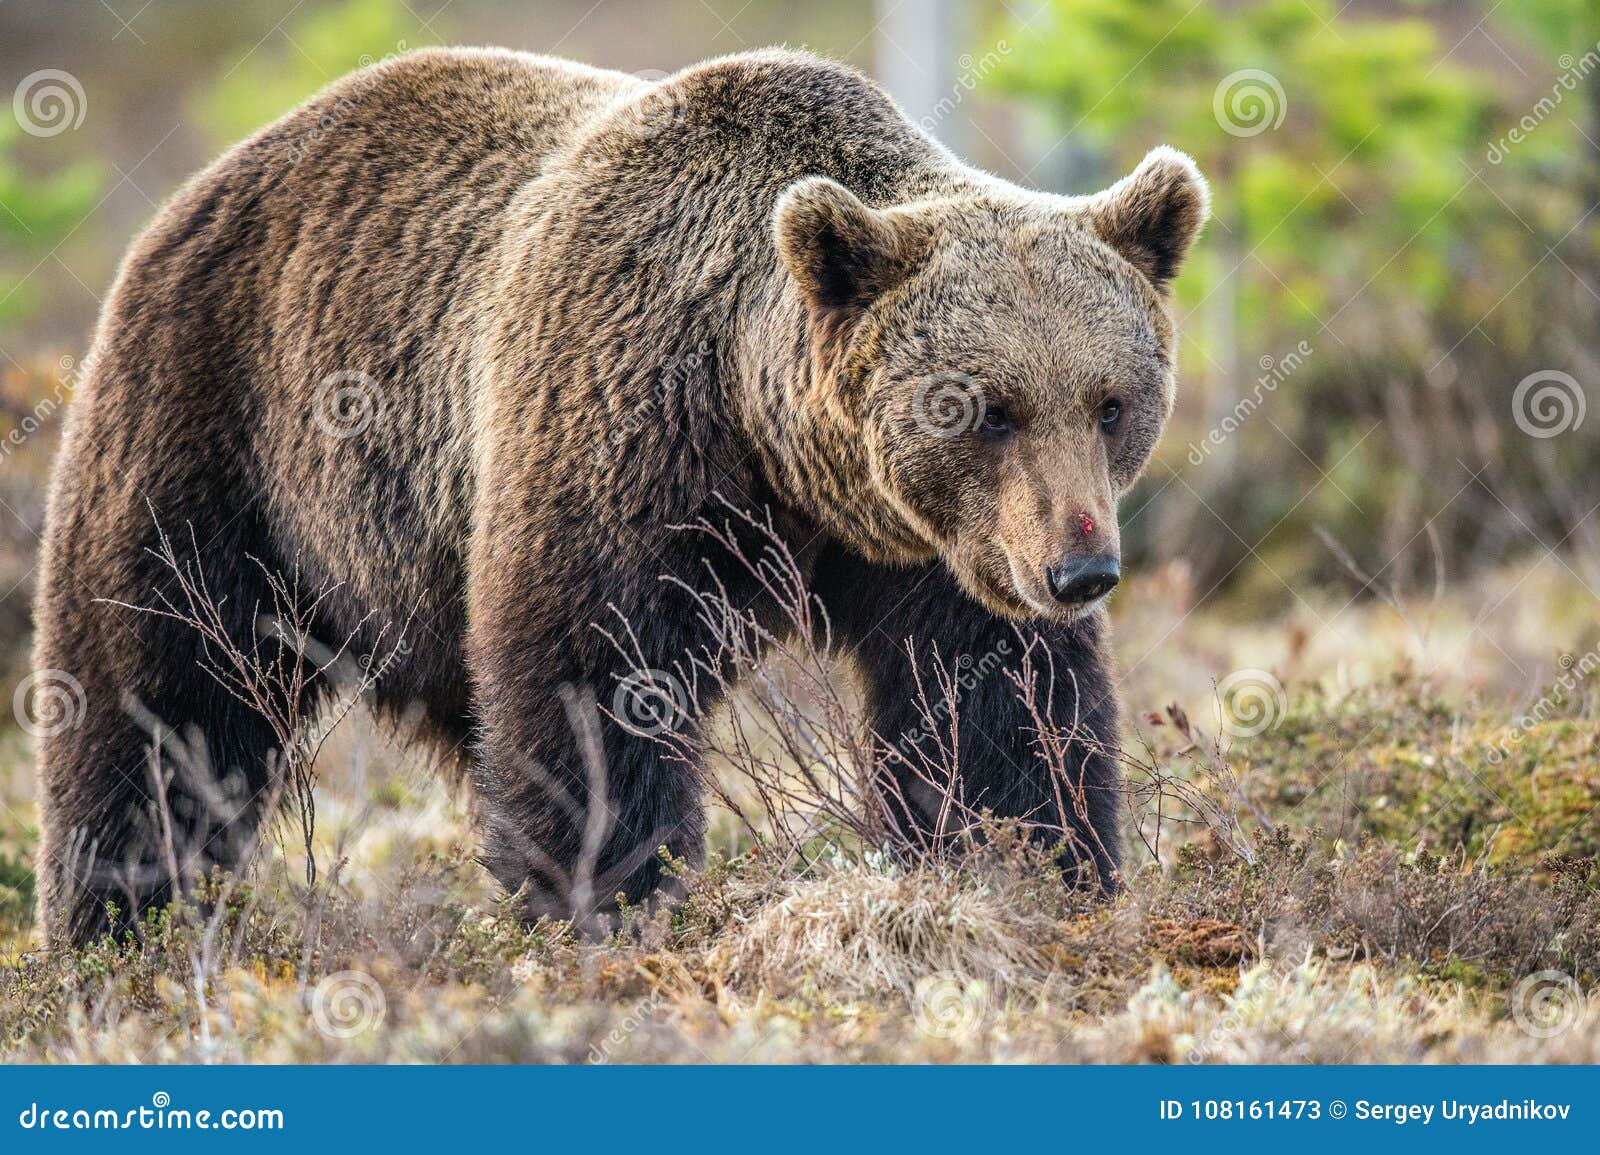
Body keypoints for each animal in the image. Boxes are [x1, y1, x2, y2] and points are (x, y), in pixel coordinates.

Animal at [32, 46, 1207, 946]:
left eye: (1110, 401)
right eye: (987, 409)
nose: (1080, 567)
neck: (775, 446)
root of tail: (206, 180)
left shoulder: (931, 553)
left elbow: (997, 708)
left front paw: (1035, 867)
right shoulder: (620, 428)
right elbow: (594, 679)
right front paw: (613, 901)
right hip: (218, 435)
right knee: (157, 694)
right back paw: (116, 923)